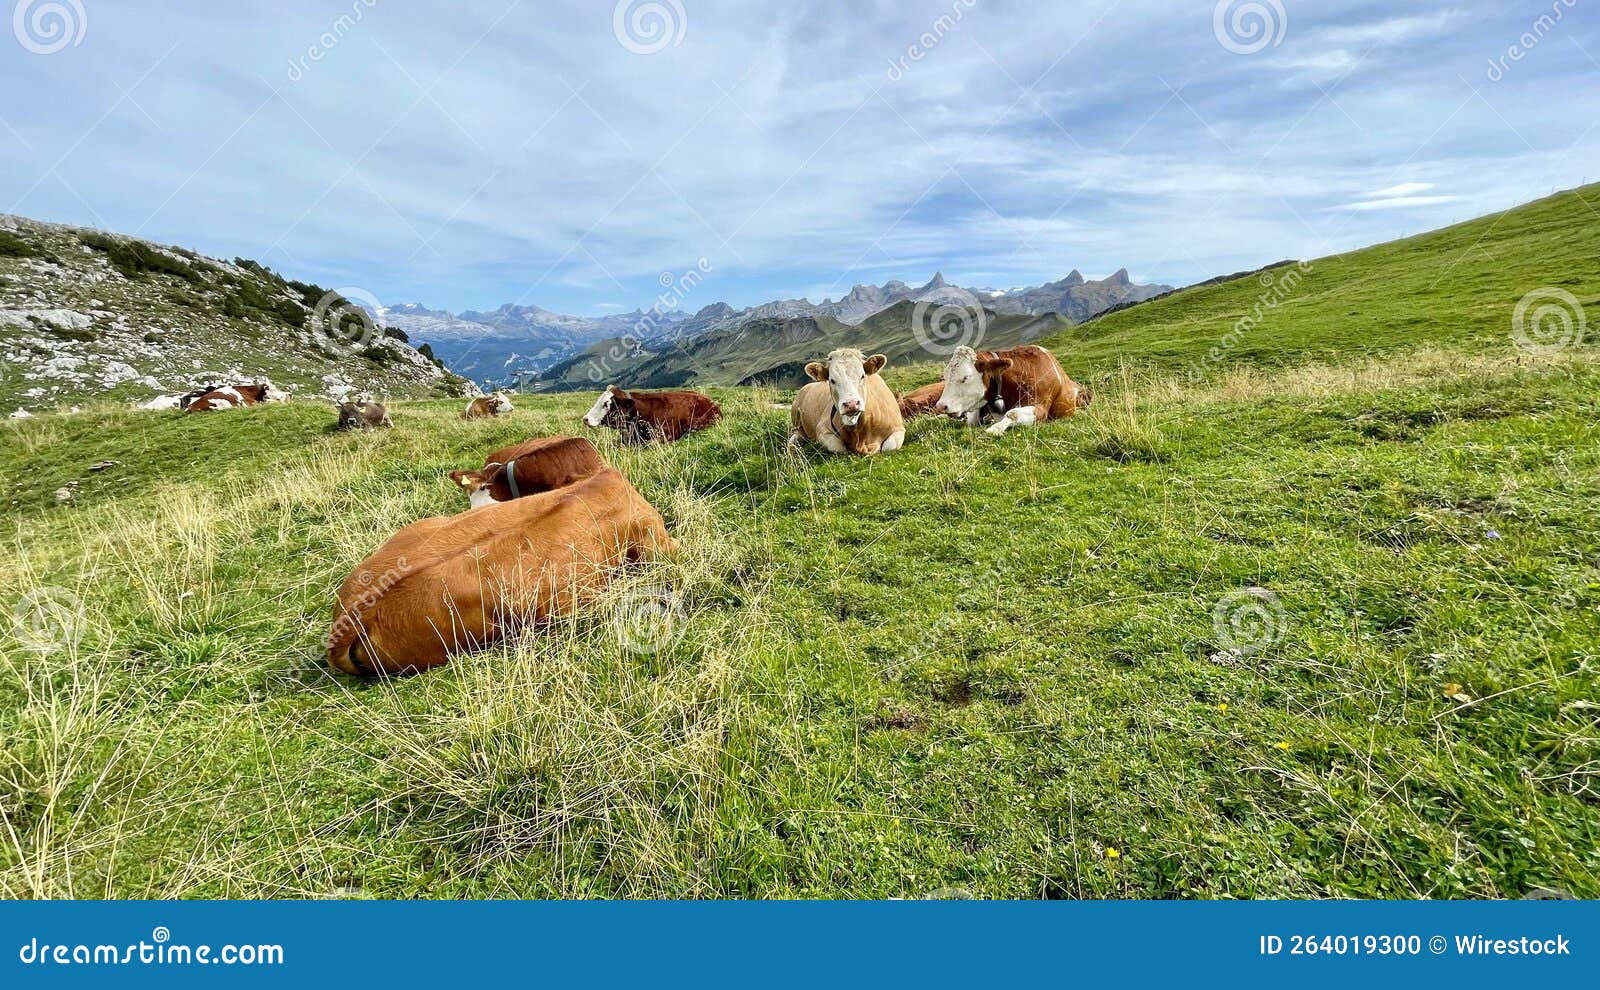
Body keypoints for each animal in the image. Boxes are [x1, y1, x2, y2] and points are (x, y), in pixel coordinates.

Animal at [935, 344, 1092, 437]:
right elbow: (971, 419)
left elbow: (1013, 413)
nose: (941, 406)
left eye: (965, 377)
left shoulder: (1041, 408)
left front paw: (995, 428)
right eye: (945, 377)